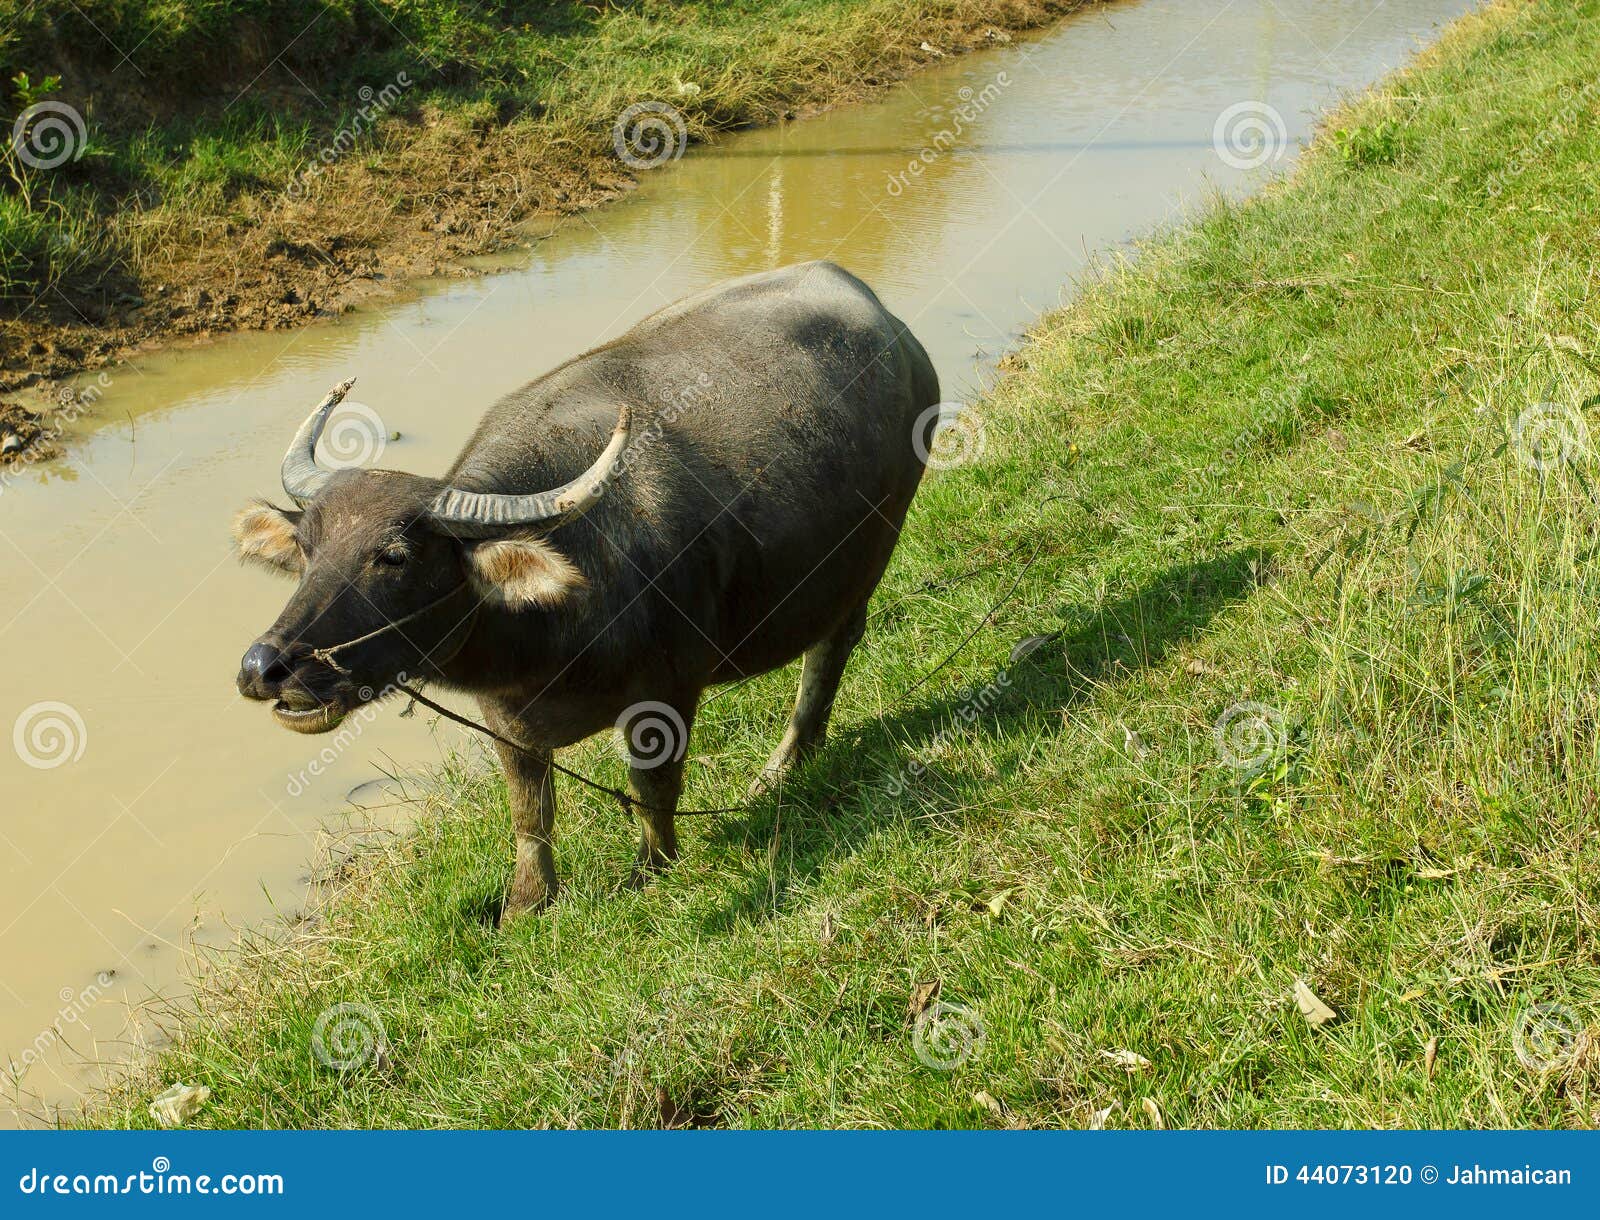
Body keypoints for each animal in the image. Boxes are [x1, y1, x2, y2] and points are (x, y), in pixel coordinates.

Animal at [235, 261, 940, 915]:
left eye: (394, 556)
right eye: (307, 550)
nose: (265, 668)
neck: (544, 626)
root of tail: (897, 334)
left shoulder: (669, 694)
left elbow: (653, 787)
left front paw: (653, 868)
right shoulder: (505, 720)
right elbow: (529, 808)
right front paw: (528, 901)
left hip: (871, 552)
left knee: (831, 649)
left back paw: (782, 766)